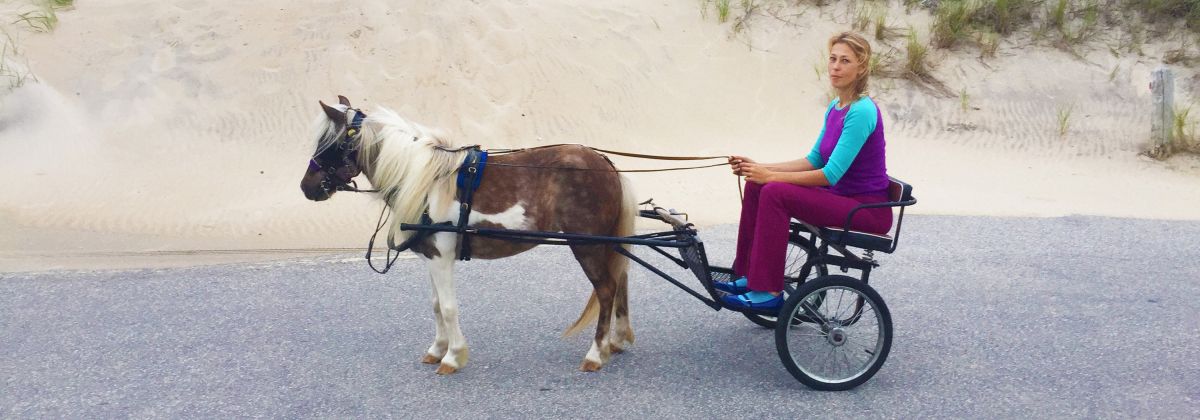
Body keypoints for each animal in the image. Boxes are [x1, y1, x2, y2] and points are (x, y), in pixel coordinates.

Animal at [299, 96, 637, 374]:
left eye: (328, 145)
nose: (306, 187)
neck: (424, 181)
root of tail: (605, 162)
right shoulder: (431, 257)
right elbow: (436, 305)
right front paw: (437, 349)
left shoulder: (442, 257)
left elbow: (449, 308)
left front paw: (452, 356)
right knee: (620, 282)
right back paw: (616, 341)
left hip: (587, 246)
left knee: (606, 290)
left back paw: (595, 353)